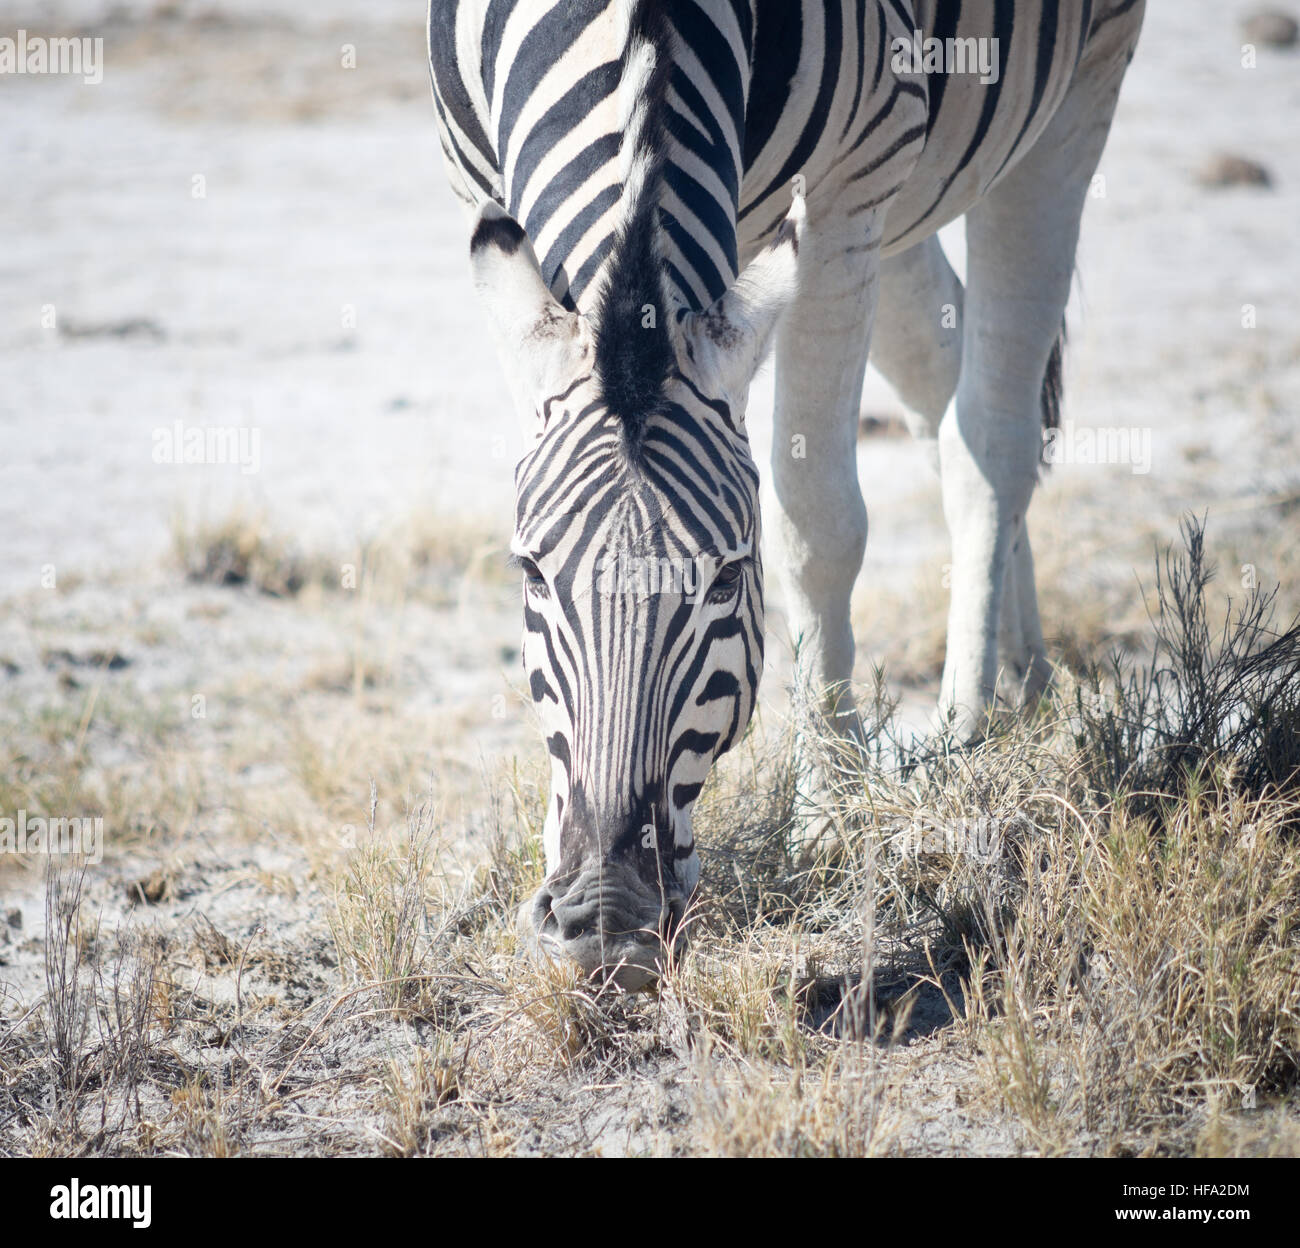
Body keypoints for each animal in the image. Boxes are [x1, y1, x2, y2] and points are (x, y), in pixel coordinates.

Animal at [428, 0, 1146, 987]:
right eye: (529, 574)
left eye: (730, 580)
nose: (604, 920)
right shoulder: (475, 177)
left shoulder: (851, 179)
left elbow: (818, 524)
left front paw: (828, 819)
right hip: (914, 191)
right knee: (945, 382)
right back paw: (1028, 676)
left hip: (1071, 93)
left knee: (991, 429)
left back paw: (970, 730)